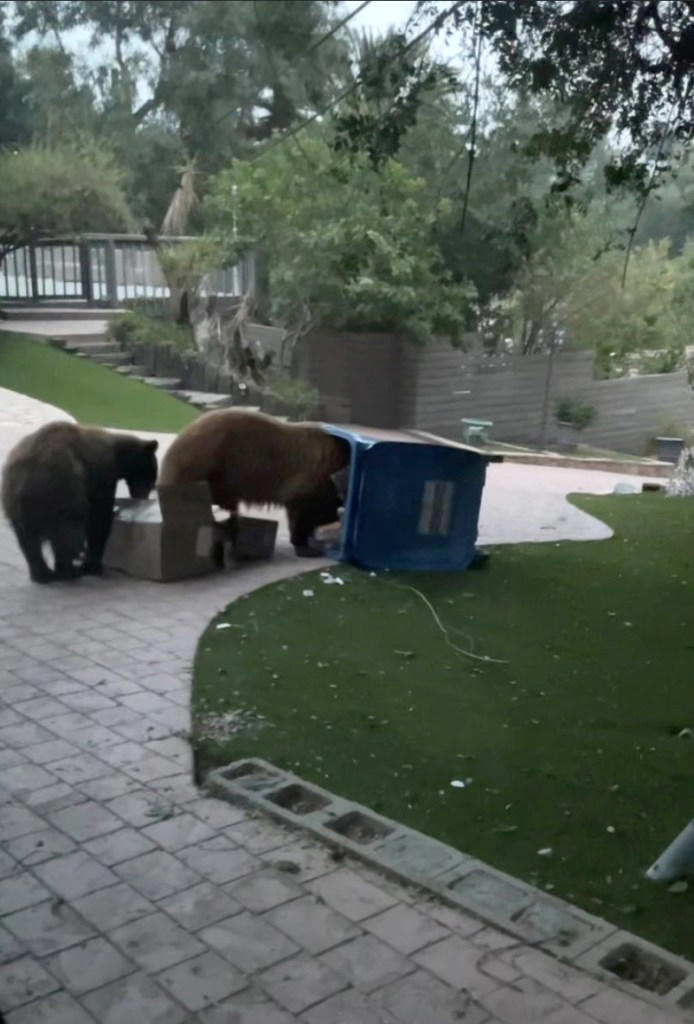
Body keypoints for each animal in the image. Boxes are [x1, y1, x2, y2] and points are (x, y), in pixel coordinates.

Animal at [2, 421, 158, 584]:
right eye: (151, 477)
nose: (144, 495)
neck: (119, 457)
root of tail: (25, 479)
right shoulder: (102, 473)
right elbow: (99, 516)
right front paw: (93, 565)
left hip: (16, 501)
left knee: (28, 539)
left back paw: (42, 574)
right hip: (63, 490)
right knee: (69, 531)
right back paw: (69, 571)